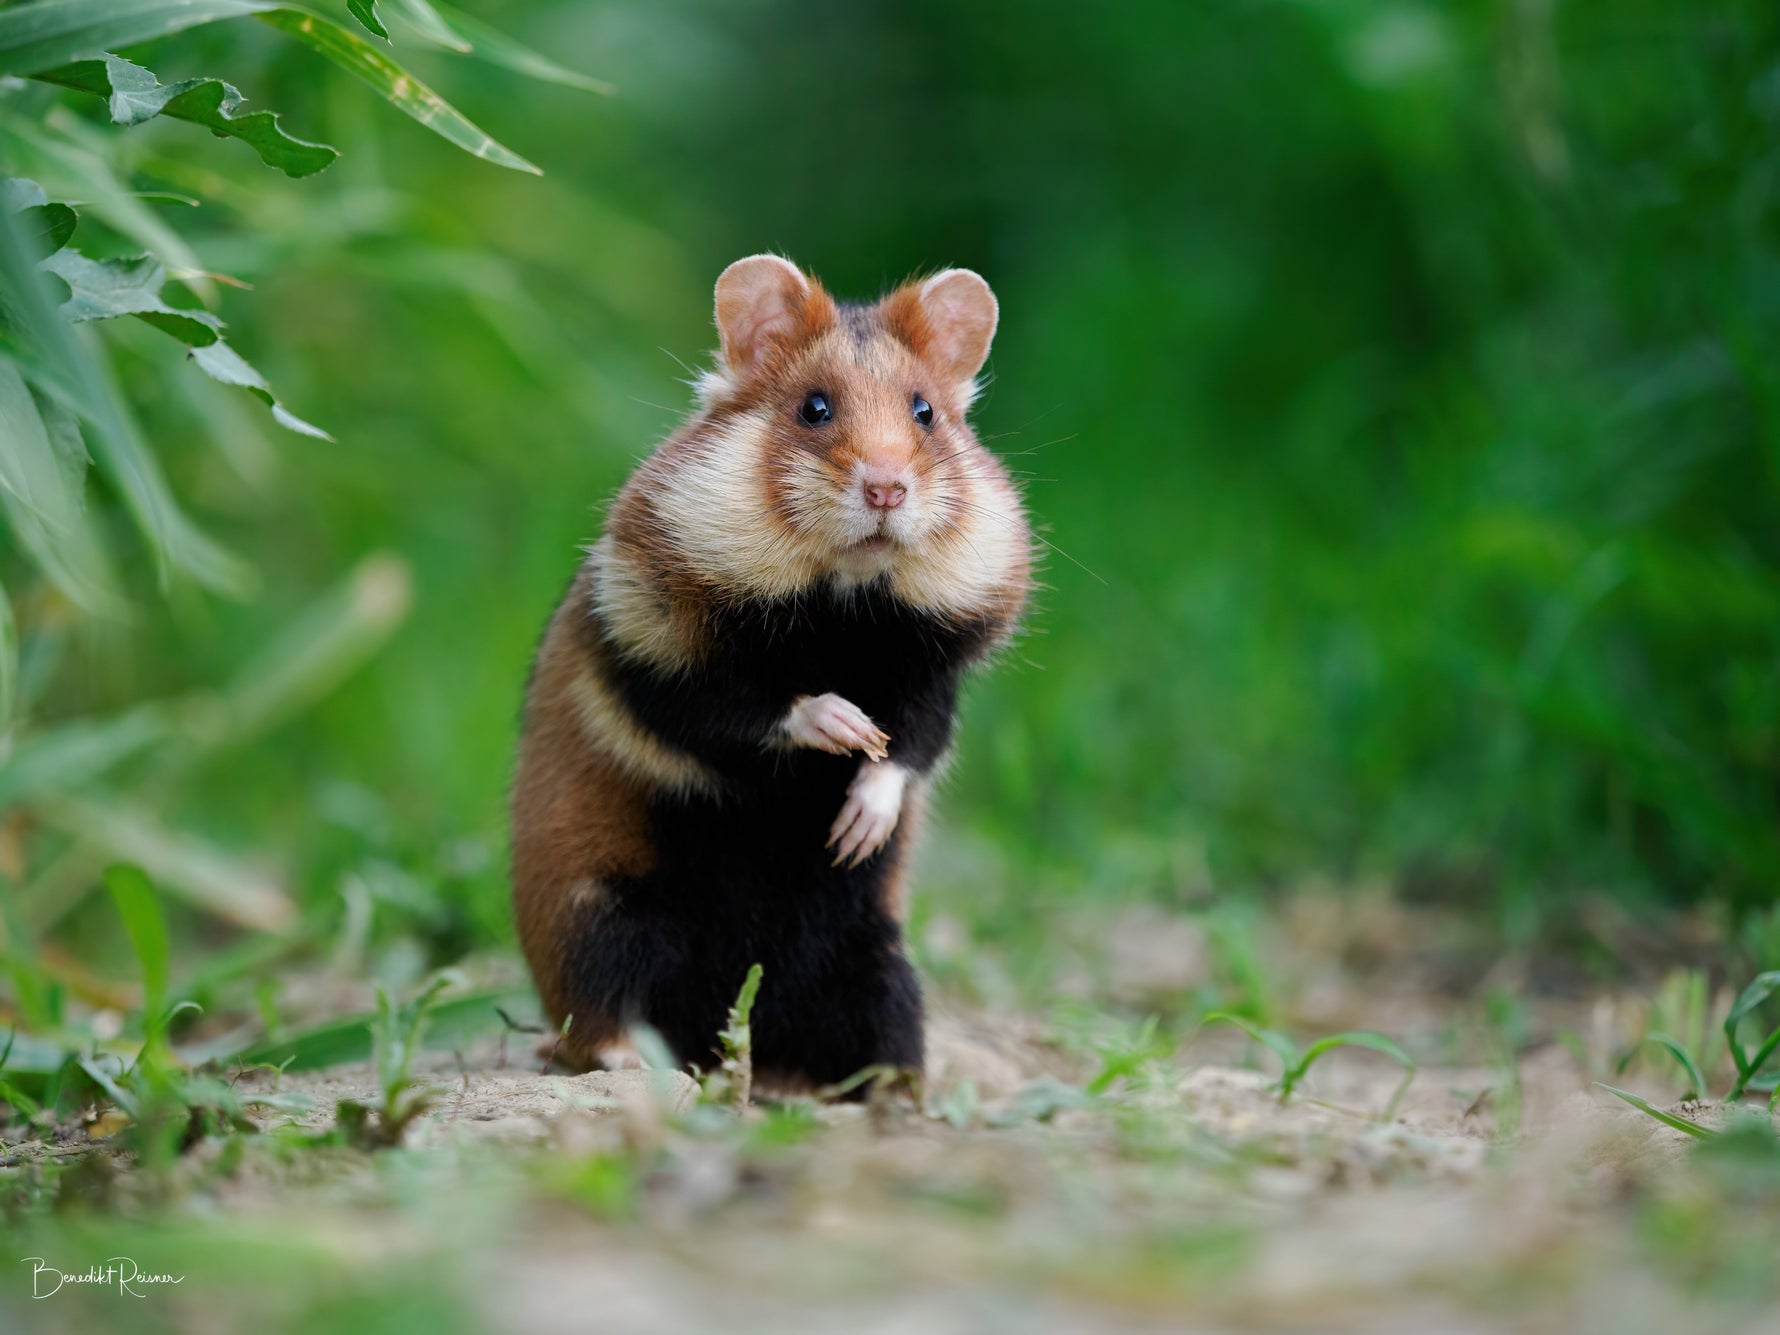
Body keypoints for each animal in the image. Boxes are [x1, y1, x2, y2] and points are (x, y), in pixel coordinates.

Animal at [510, 255, 1033, 1094]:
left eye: (925, 412)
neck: (844, 601)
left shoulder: (935, 679)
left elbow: (912, 746)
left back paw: (889, 1088)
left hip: (879, 962)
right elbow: (739, 705)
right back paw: (643, 1063)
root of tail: (739, 1041)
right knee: (595, 1016)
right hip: (600, 916)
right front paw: (844, 724)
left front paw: (855, 826)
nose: (887, 488)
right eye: (814, 408)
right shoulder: (648, 640)